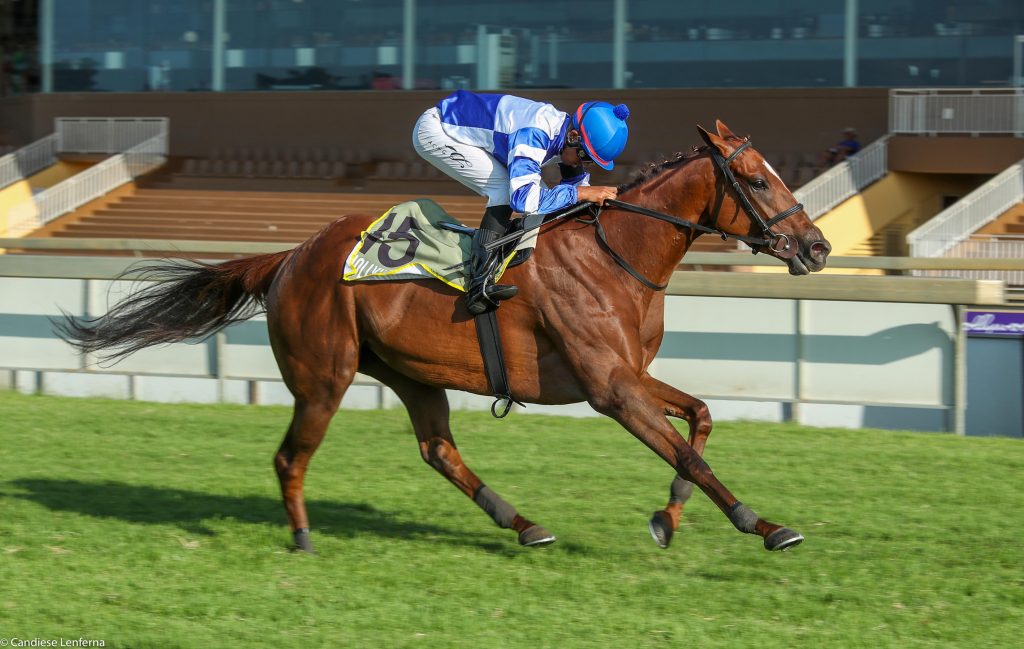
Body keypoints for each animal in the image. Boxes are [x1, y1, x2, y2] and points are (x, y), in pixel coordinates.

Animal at [56, 120, 831, 554]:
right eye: (759, 180)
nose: (818, 247)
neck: (617, 253)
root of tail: (291, 254)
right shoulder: (610, 388)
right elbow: (691, 452)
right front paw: (764, 525)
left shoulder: (630, 375)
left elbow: (700, 419)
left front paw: (667, 517)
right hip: (324, 377)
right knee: (289, 456)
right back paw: (302, 536)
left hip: (411, 372)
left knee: (438, 449)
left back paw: (522, 523)